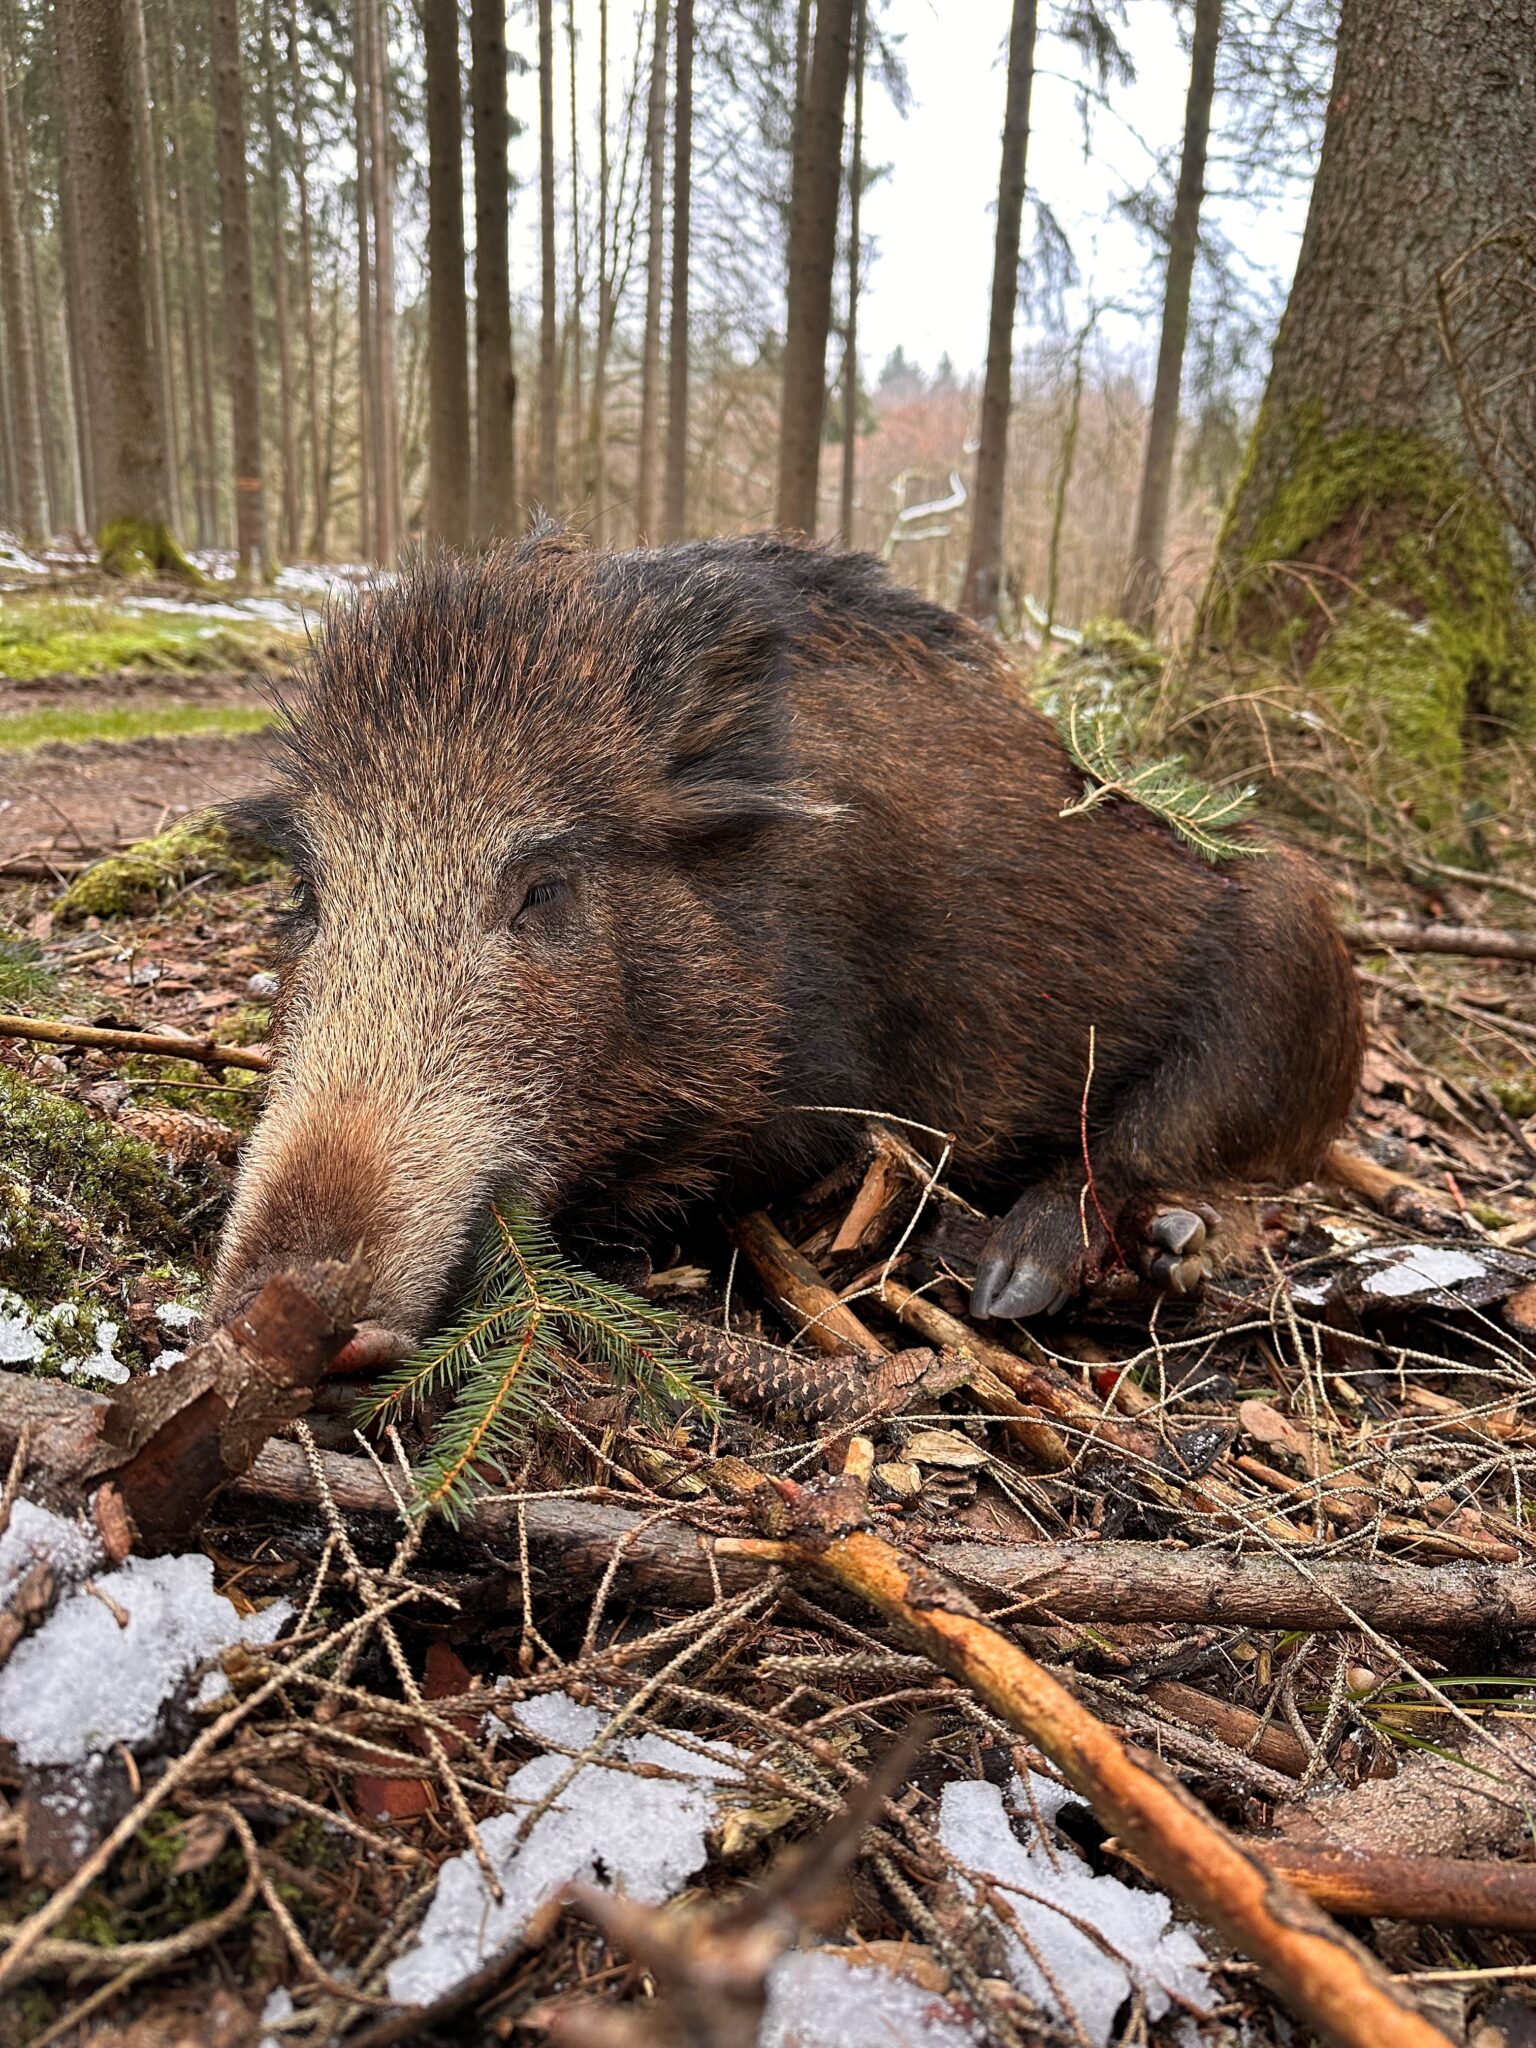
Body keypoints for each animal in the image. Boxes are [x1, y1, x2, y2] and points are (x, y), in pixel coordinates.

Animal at [211, 531, 1363, 1351]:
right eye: (310, 890)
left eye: (543, 888)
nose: (268, 1307)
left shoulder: (826, 1098)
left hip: (1291, 959)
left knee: (1161, 1154)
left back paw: (1030, 1281)